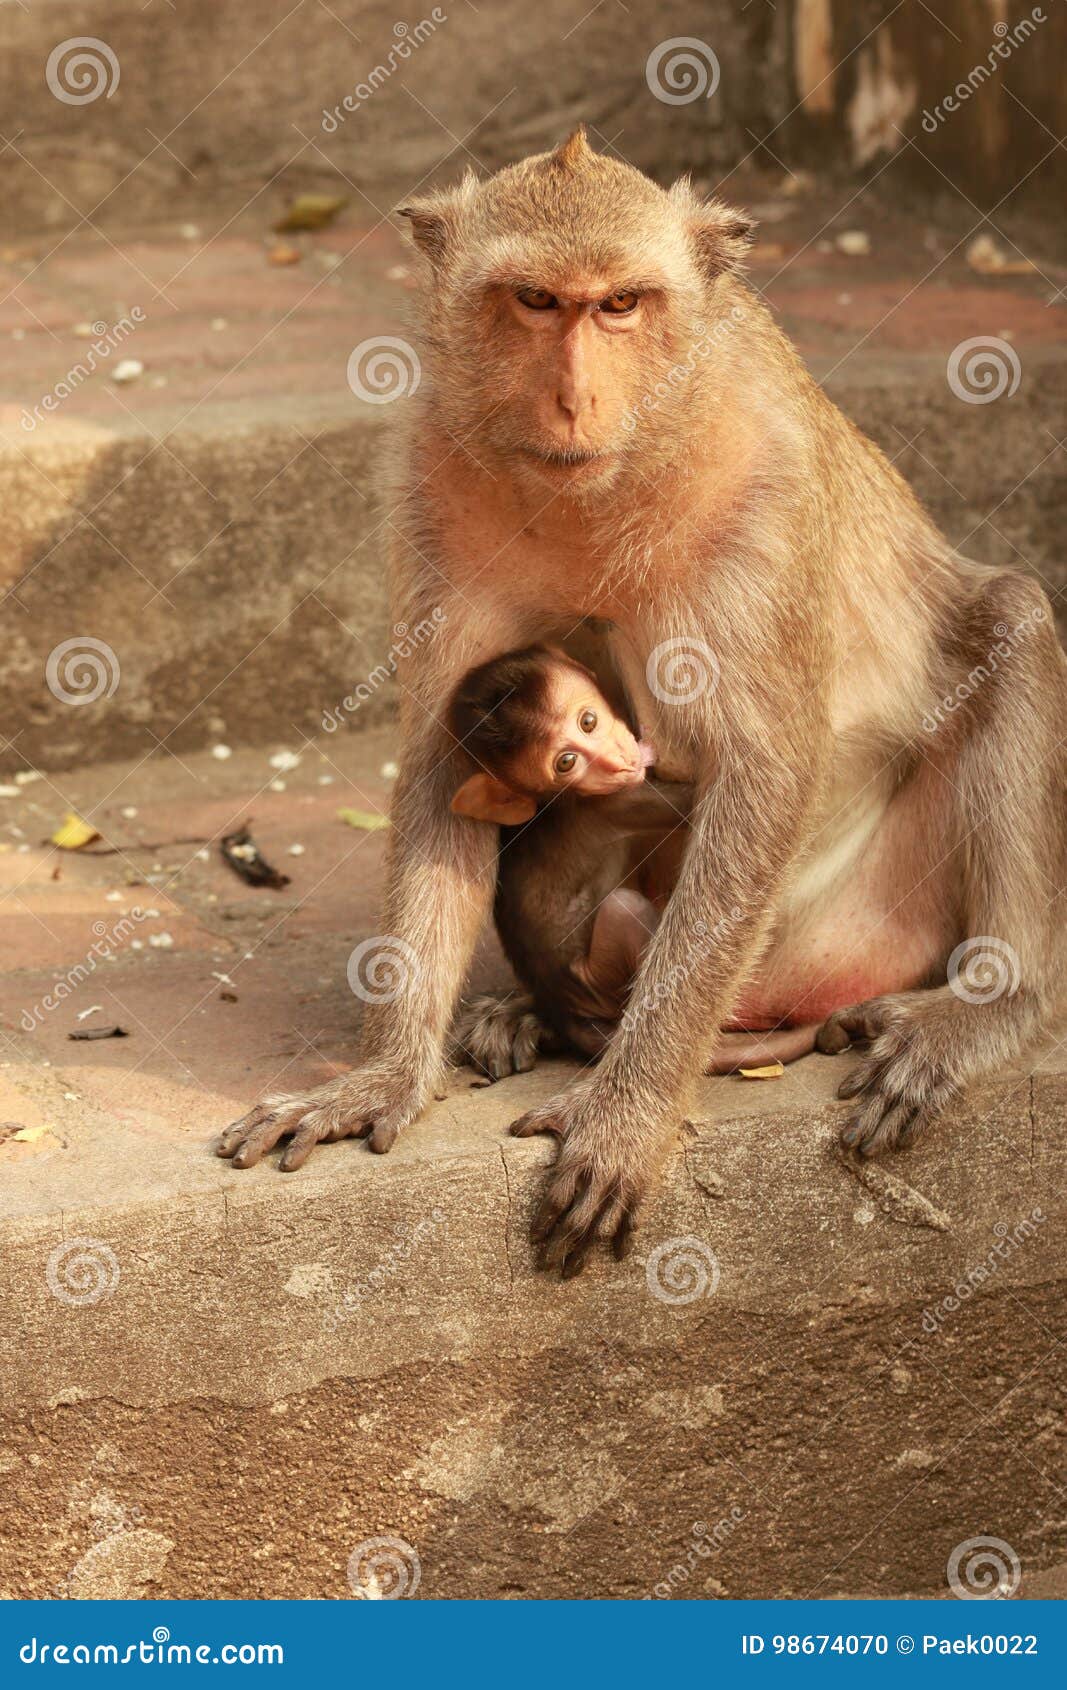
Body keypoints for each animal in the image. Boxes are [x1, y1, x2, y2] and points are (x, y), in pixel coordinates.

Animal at [447, 641, 821, 1074]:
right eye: (566, 762)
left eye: (588, 721)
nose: (614, 761)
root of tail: (560, 1006)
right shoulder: (619, 803)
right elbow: (699, 802)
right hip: (601, 981)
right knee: (624, 909)